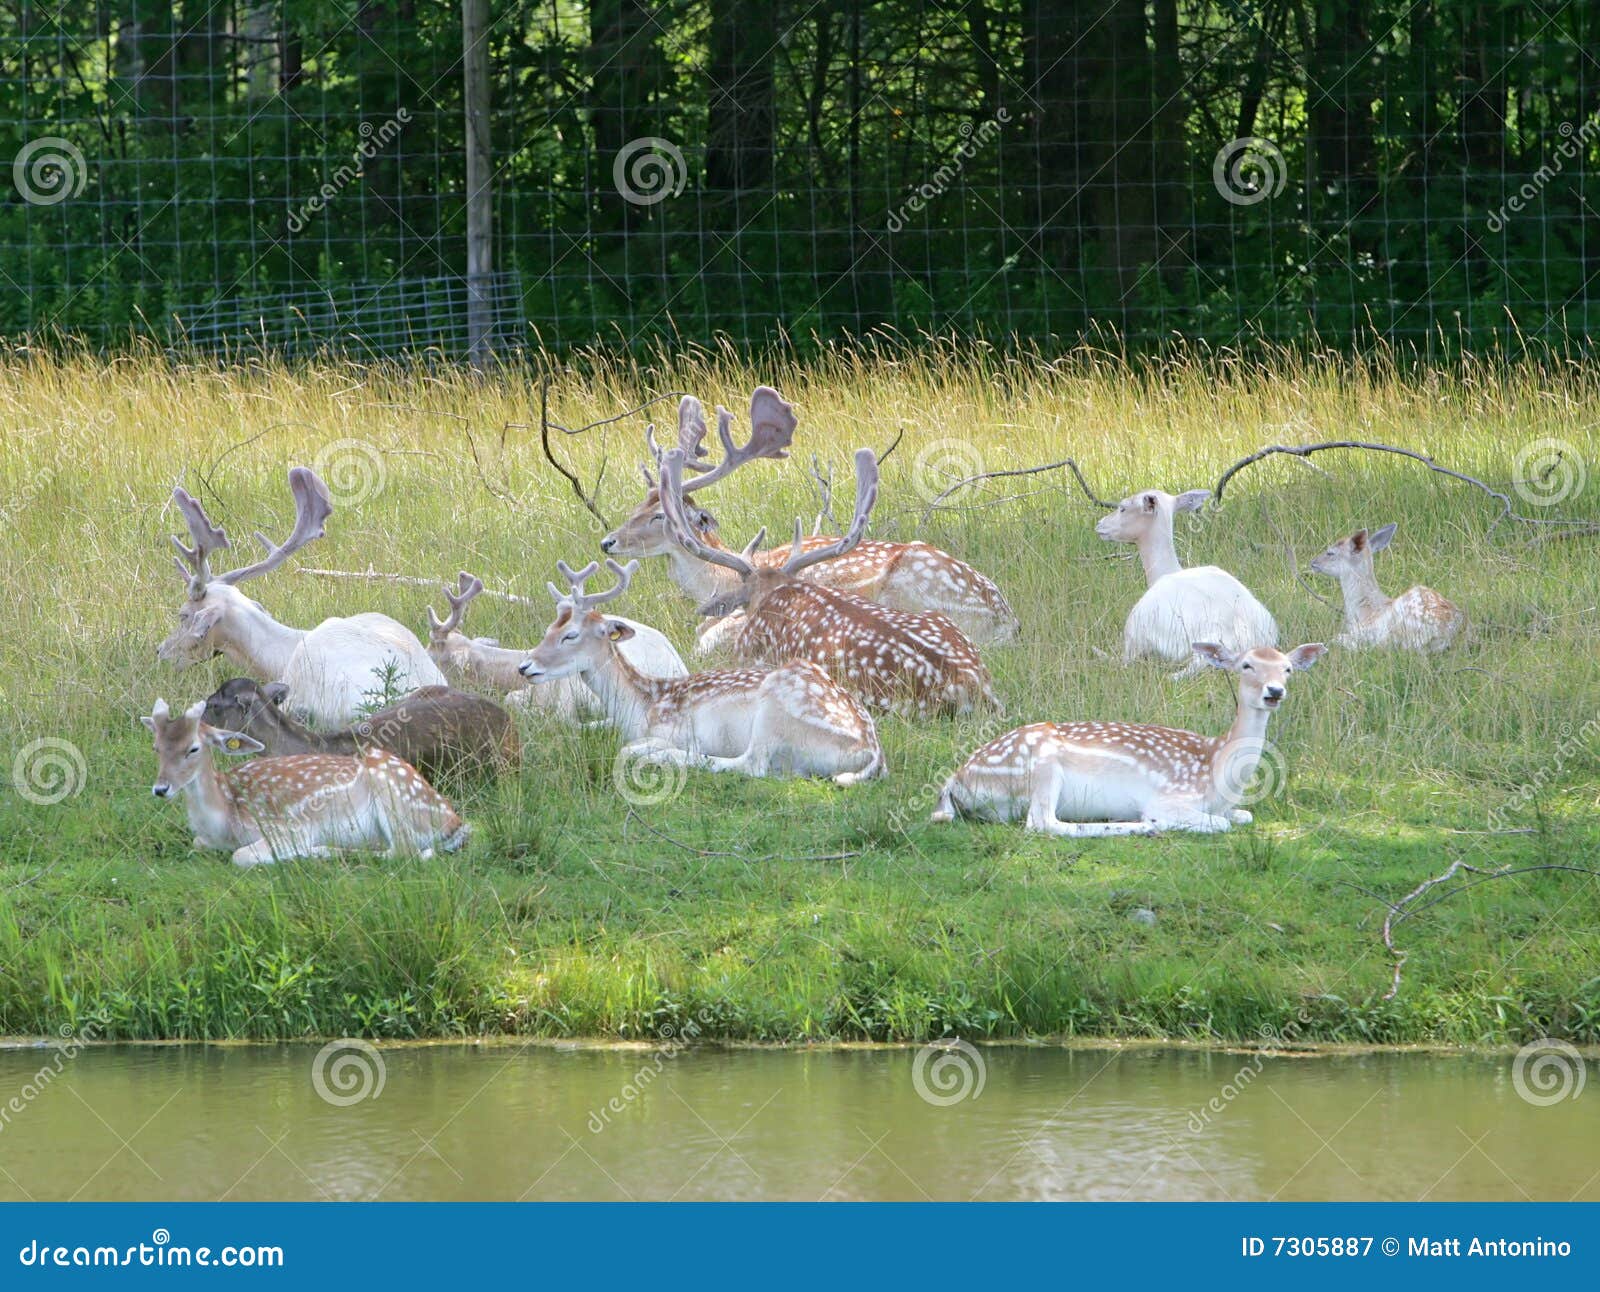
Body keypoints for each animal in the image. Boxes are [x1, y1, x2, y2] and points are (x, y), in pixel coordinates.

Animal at [142, 698, 469, 866]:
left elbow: (240, 856)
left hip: (393, 797)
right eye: (156, 747)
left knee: (404, 851)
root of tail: (453, 820)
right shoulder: (205, 839)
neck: (225, 816)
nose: (161, 788)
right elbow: (197, 843)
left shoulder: (287, 827)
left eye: (193, 748)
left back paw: (319, 851)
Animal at [517, 558, 883, 784]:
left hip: (775, 708)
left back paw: (679, 756)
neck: (641, 706)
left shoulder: (675, 729)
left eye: (570, 635)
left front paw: (661, 751)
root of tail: (871, 751)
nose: (525, 666)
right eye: (548, 629)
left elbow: (629, 749)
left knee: (751, 765)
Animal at [932, 641, 1326, 836]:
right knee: (1043, 823)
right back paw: (1142, 826)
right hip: (1041, 763)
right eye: (1246, 665)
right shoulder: (1172, 797)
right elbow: (1225, 822)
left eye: (1287, 669)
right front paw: (1161, 822)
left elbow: (1243, 815)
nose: (1274, 691)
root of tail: (956, 781)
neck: (1218, 770)